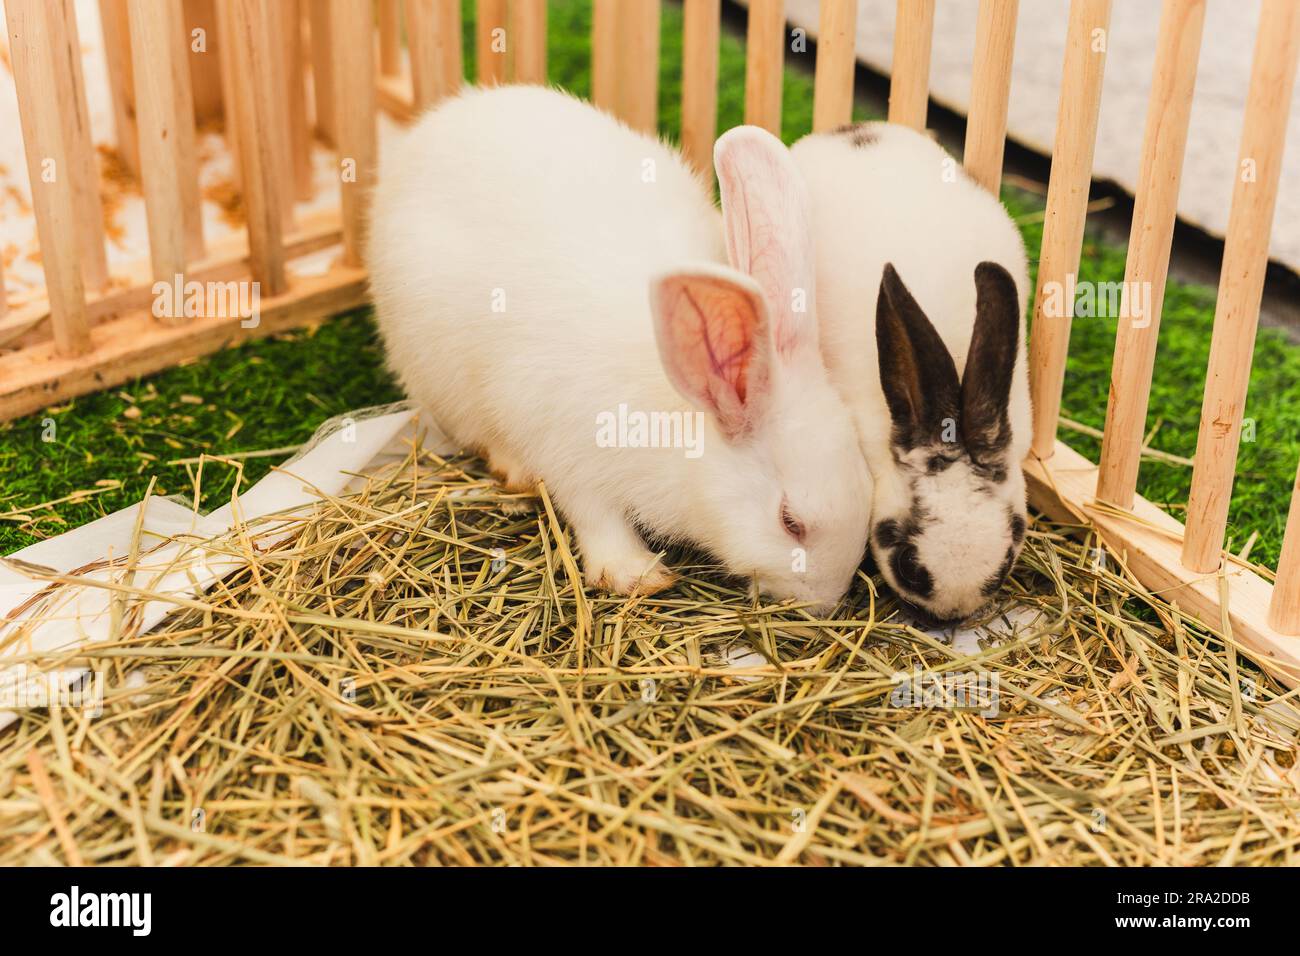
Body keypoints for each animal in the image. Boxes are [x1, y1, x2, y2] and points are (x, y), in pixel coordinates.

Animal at [367, 86, 872, 607]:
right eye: (790, 522)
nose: (828, 602)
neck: (685, 415)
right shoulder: (569, 451)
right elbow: (594, 516)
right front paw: (636, 575)